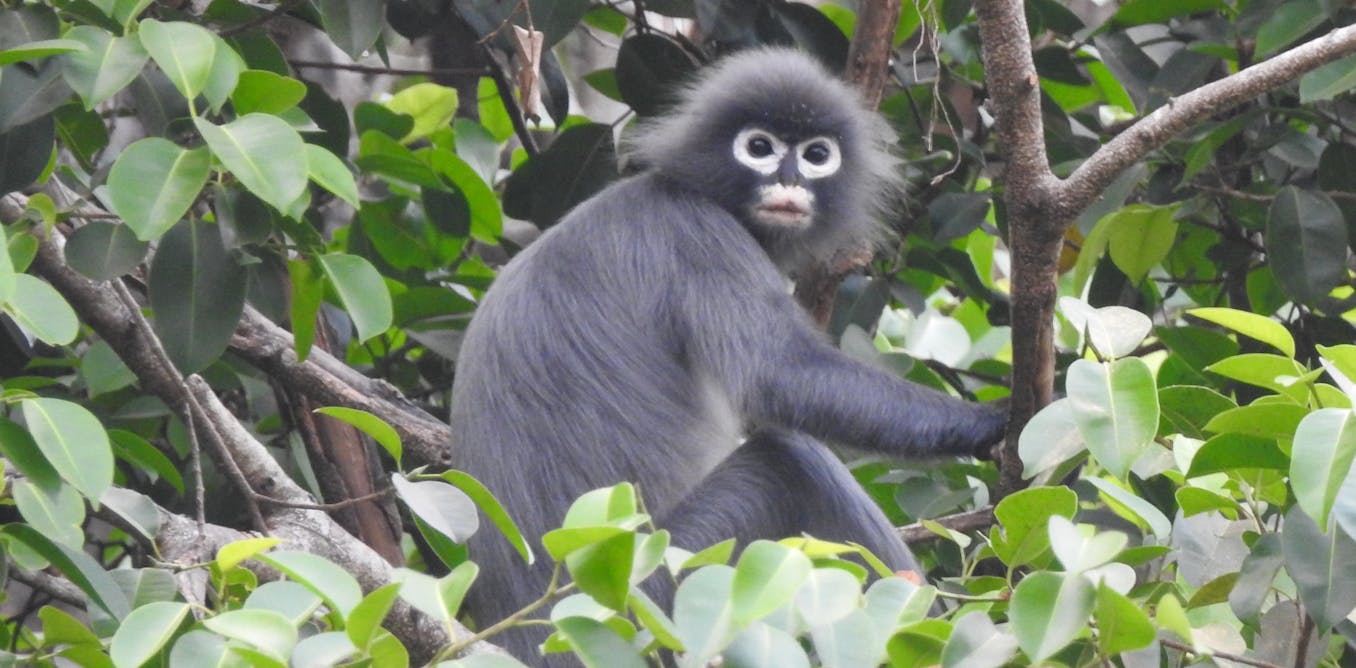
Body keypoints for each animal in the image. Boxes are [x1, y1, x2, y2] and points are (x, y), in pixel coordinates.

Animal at [447, 47, 1007, 664]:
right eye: (759, 147)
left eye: (816, 155)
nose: (788, 181)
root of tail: (528, 632)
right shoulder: (700, 234)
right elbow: (782, 377)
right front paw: (998, 420)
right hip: (663, 592)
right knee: (793, 458)